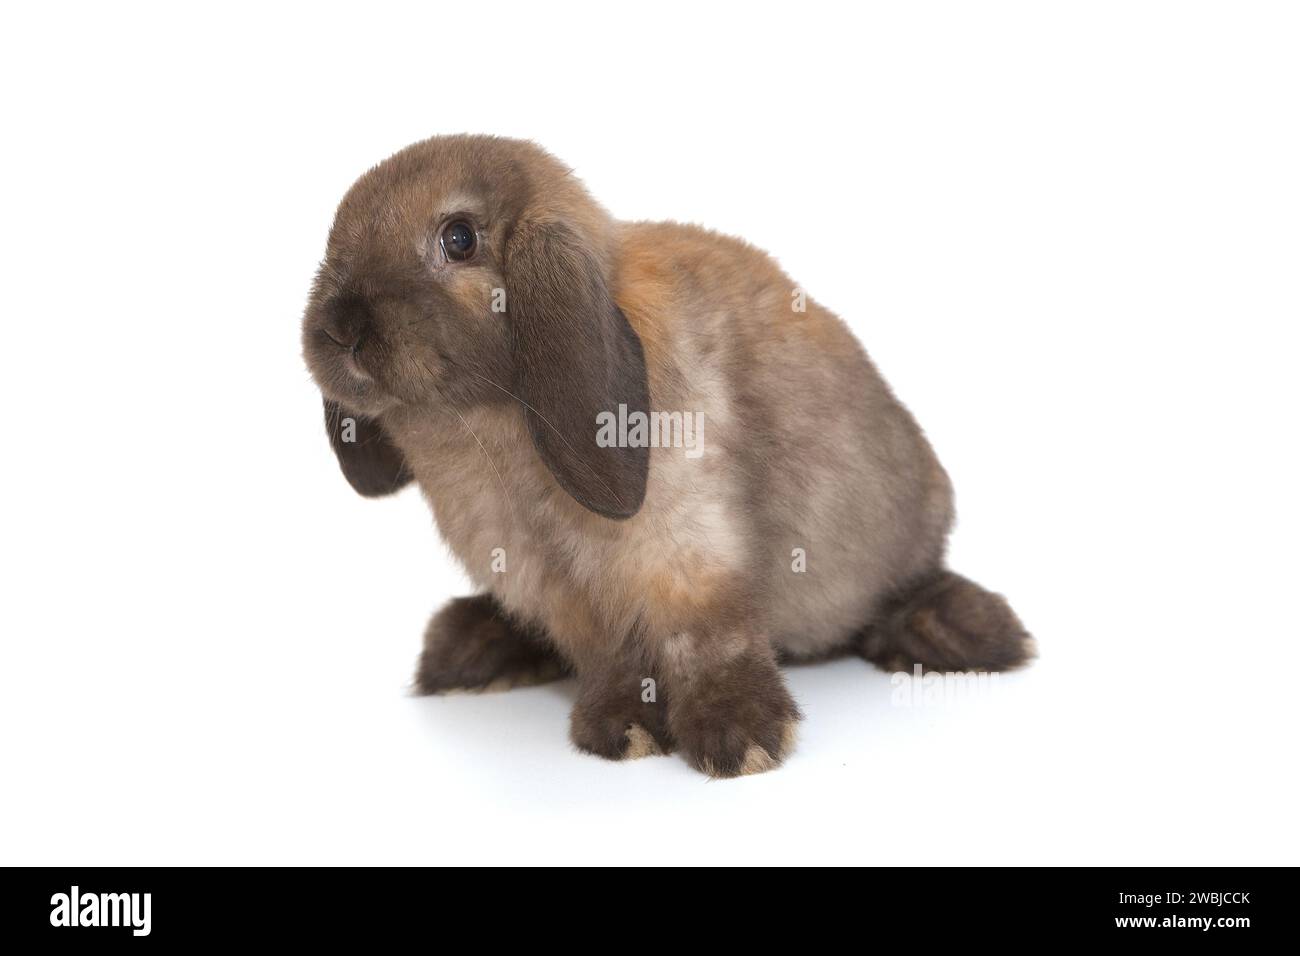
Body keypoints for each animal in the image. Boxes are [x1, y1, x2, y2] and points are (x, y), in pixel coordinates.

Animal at [301, 134, 1034, 777]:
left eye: (458, 239)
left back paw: (963, 631)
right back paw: (467, 651)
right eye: (335, 239)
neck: (492, 430)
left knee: (905, 589)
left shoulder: (689, 553)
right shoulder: (552, 587)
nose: (339, 327)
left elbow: (710, 641)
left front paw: (741, 739)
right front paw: (622, 728)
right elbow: (606, 655)